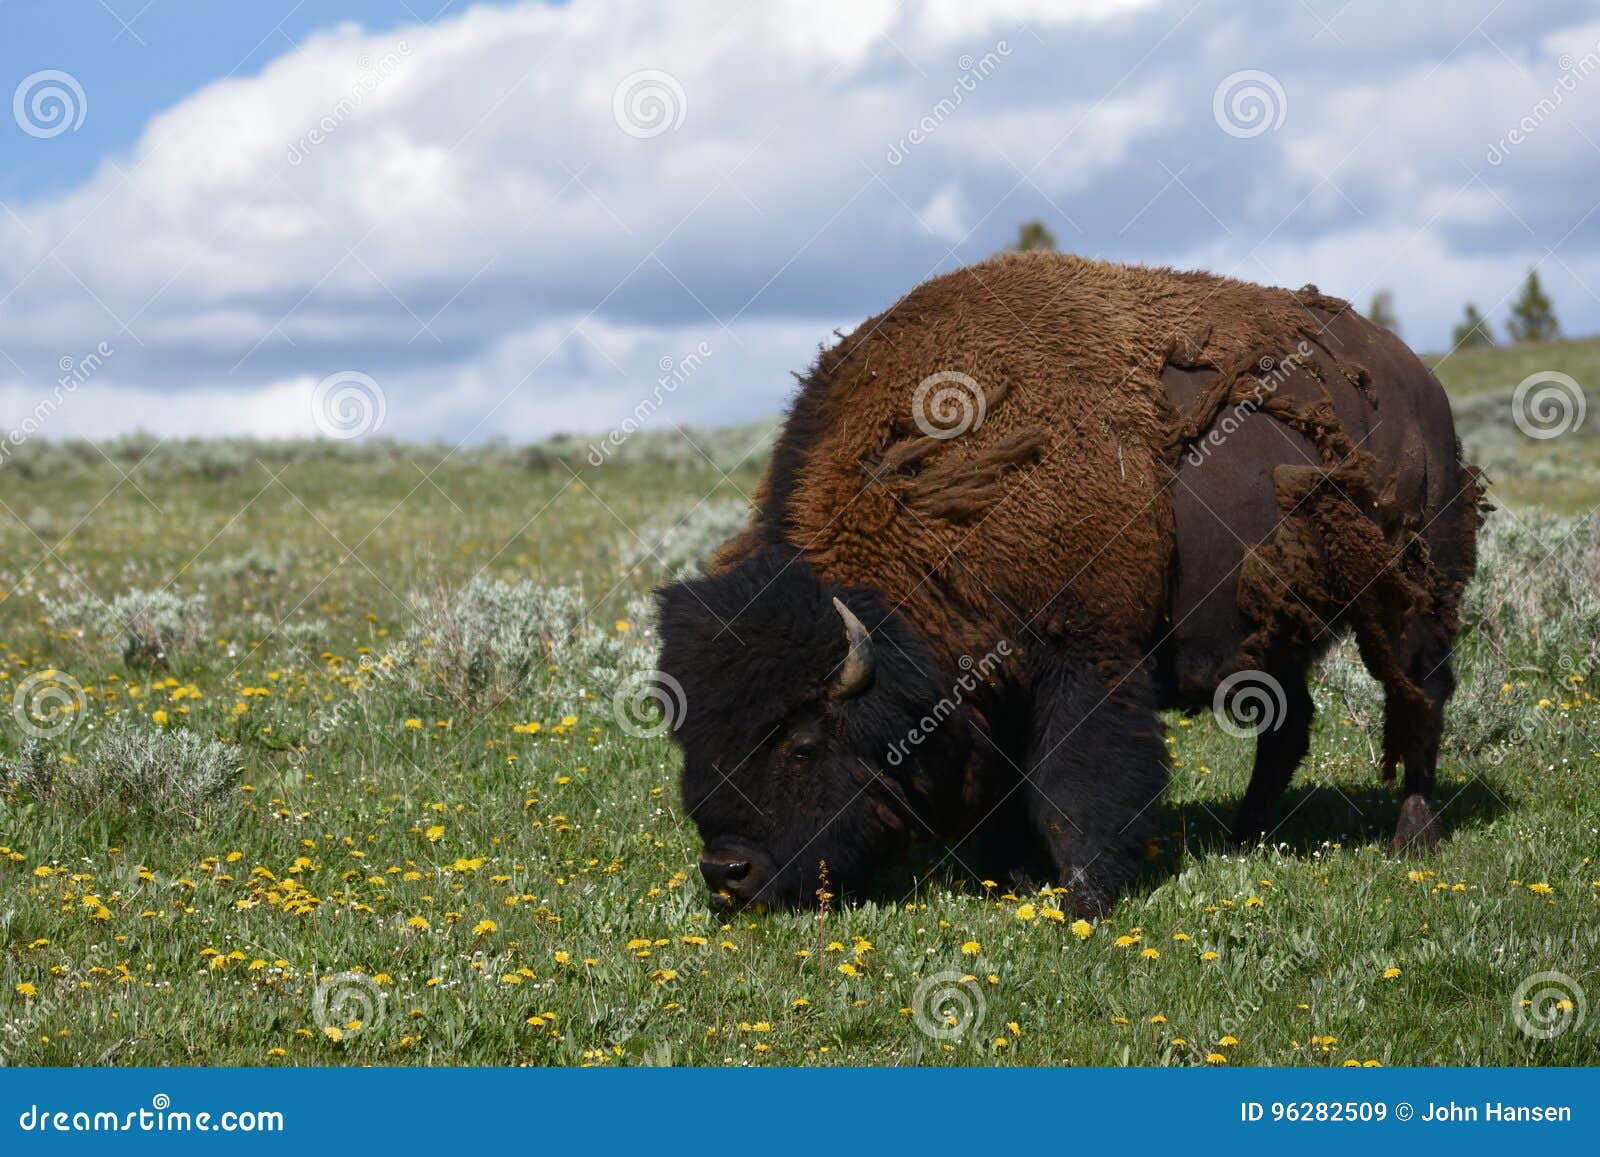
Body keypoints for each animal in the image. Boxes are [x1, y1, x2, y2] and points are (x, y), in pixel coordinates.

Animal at [656, 253, 1485, 917]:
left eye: (800, 743)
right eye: (692, 735)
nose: (727, 870)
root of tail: (1421, 386)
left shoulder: (1085, 655)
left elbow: (1072, 783)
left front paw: (1084, 898)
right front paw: (1007, 874)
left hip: (1412, 601)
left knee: (1419, 700)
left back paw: (1411, 838)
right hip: (1272, 633)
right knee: (1290, 726)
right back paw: (1245, 838)